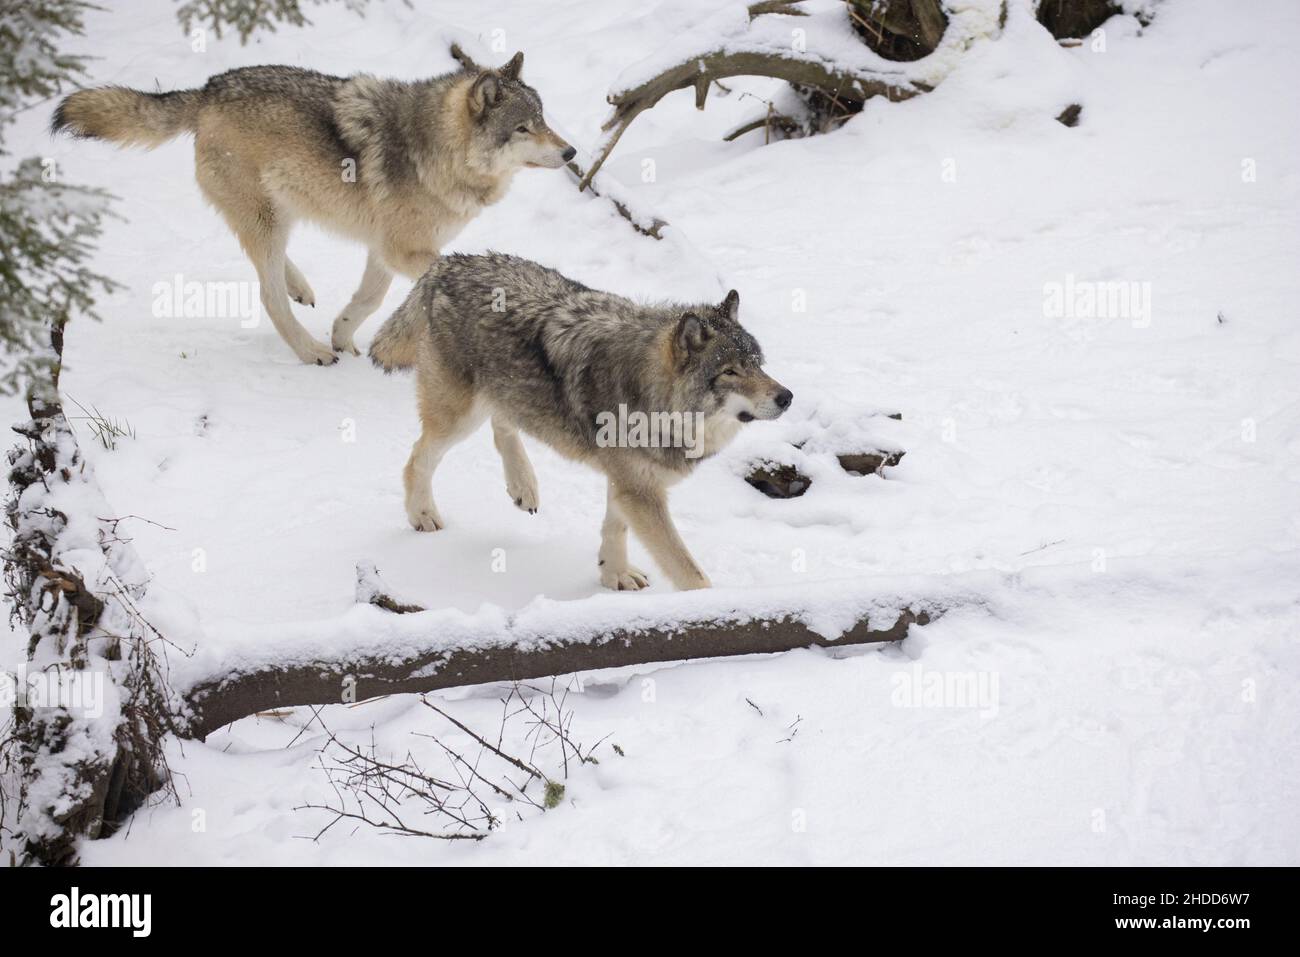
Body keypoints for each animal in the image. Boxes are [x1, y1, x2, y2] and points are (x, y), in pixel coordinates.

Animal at [52, 54, 573, 364]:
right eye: (524, 128)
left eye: (545, 120)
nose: (570, 153)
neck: (438, 152)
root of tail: (208, 89)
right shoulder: (403, 250)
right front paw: (335, 343)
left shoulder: (383, 250)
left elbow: (368, 300)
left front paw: (343, 335)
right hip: (268, 217)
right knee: (268, 296)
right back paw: (310, 350)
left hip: (280, 211)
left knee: (276, 269)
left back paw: (300, 288)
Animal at [369, 253, 793, 591]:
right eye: (730, 372)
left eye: (758, 364)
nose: (786, 397)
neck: (652, 396)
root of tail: (447, 263)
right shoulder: (640, 491)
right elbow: (689, 571)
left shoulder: (627, 482)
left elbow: (614, 529)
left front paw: (614, 576)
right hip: (457, 417)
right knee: (417, 458)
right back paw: (422, 514)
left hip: (501, 395)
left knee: (503, 424)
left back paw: (523, 486)